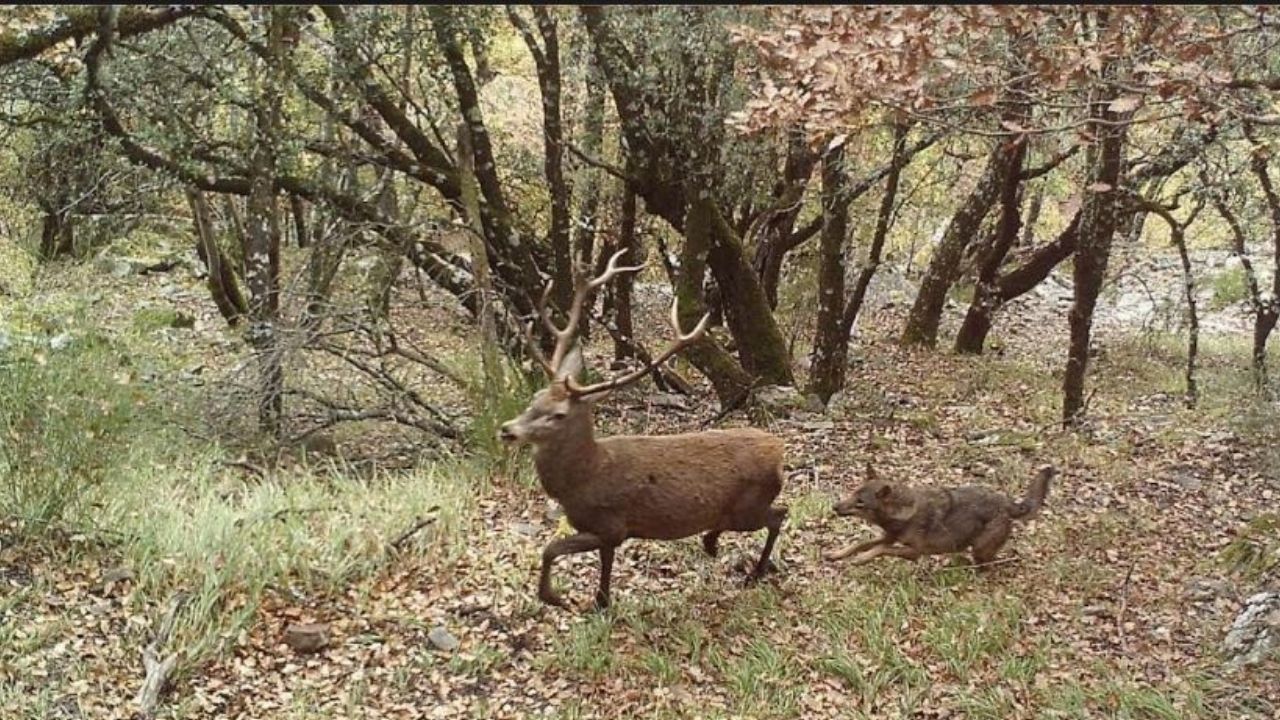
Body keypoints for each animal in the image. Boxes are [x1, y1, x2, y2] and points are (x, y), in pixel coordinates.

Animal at [498, 251, 789, 611]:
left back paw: (755, 571)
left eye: (558, 415)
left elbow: (551, 549)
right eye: (534, 398)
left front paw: (556, 598)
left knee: (780, 514)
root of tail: (779, 450)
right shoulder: (610, 533)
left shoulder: (611, 524)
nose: (507, 430)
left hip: (749, 505)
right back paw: (711, 544)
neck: (584, 479)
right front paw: (601, 601)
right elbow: (604, 564)